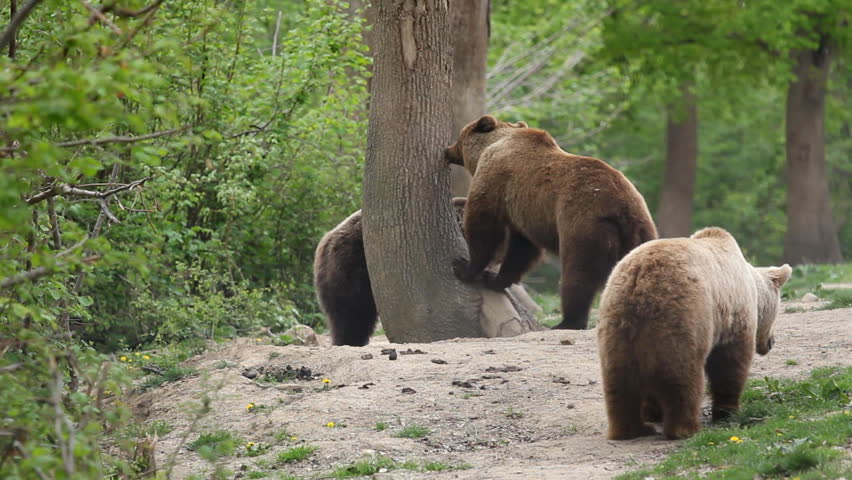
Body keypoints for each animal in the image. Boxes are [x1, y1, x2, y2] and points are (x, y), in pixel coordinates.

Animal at [445, 115, 657, 329]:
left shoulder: (496, 179)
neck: (493, 145)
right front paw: (496, 279)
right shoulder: (524, 211)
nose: (447, 150)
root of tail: (623, 207)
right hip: (640, 233)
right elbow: (521, 249)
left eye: (460, 137)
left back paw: (567, 322)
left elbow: (484, 225)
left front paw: (464, 267)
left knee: (578, 274)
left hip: (584, 226)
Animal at [596, 227, 792, 440]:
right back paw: (685, 428)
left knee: (619, 379)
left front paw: (653, 412)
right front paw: (728, 411)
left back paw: (632, 429)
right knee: (682, 377)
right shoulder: (732, 319)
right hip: (682, 316)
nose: (772, 342)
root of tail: (639, 281)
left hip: (617, 325)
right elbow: (730, 364)